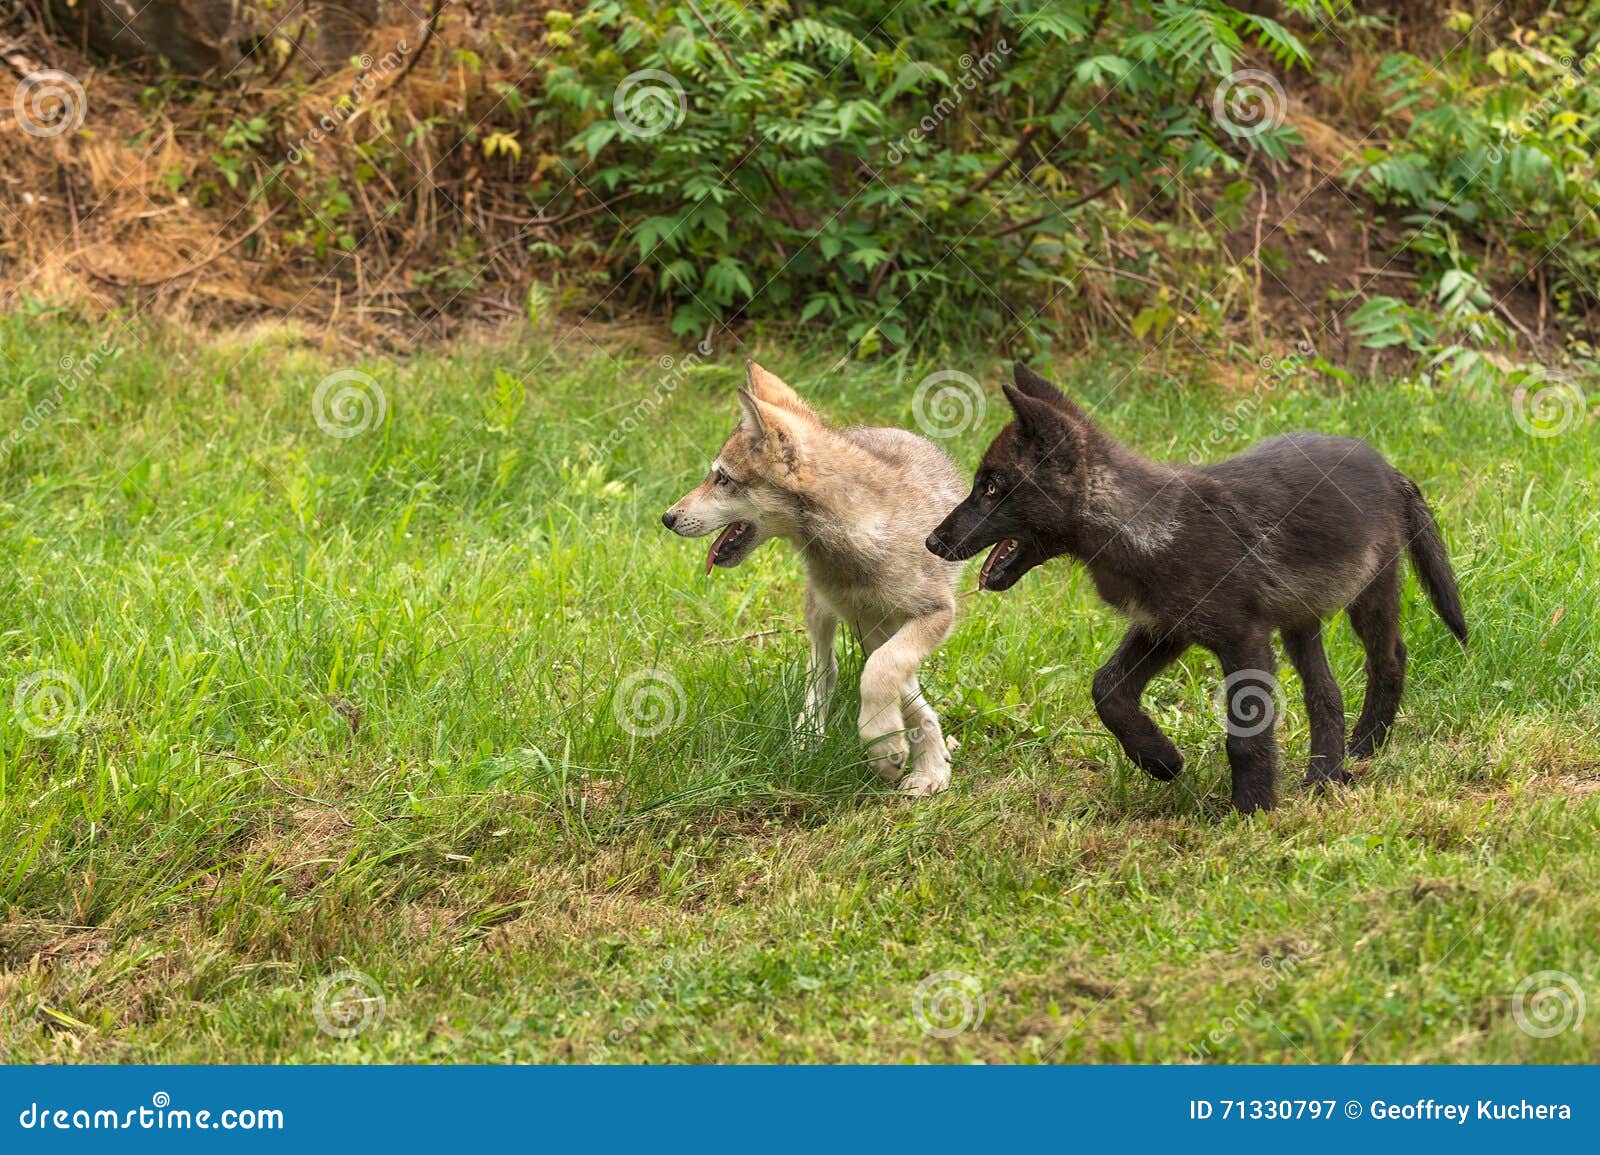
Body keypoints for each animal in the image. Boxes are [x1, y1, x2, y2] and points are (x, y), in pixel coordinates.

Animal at [662, 362, 968, 795]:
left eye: (722, 479)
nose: (667, 517)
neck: (857, 535)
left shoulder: (932, 612)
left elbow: (884, 673)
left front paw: (919, 761)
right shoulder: (865, 621)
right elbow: (889, 680)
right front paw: (896, 749)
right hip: (821, 610)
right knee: (825, 671)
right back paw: (808, 738)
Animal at [927, 362, 1467, 813]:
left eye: (992, 488)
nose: (932, 541)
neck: (1146, 528)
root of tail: (1391, 470)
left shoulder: (1243, 639)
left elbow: (1246, 736)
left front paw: (1252, 812)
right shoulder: (1165, 629)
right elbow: (1106, 689)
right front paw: (1160, 760)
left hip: (1369, 597)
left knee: (1390, 659)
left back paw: (1363, 751)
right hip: (1299, 622)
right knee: (1327, 694)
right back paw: (1325, 778)